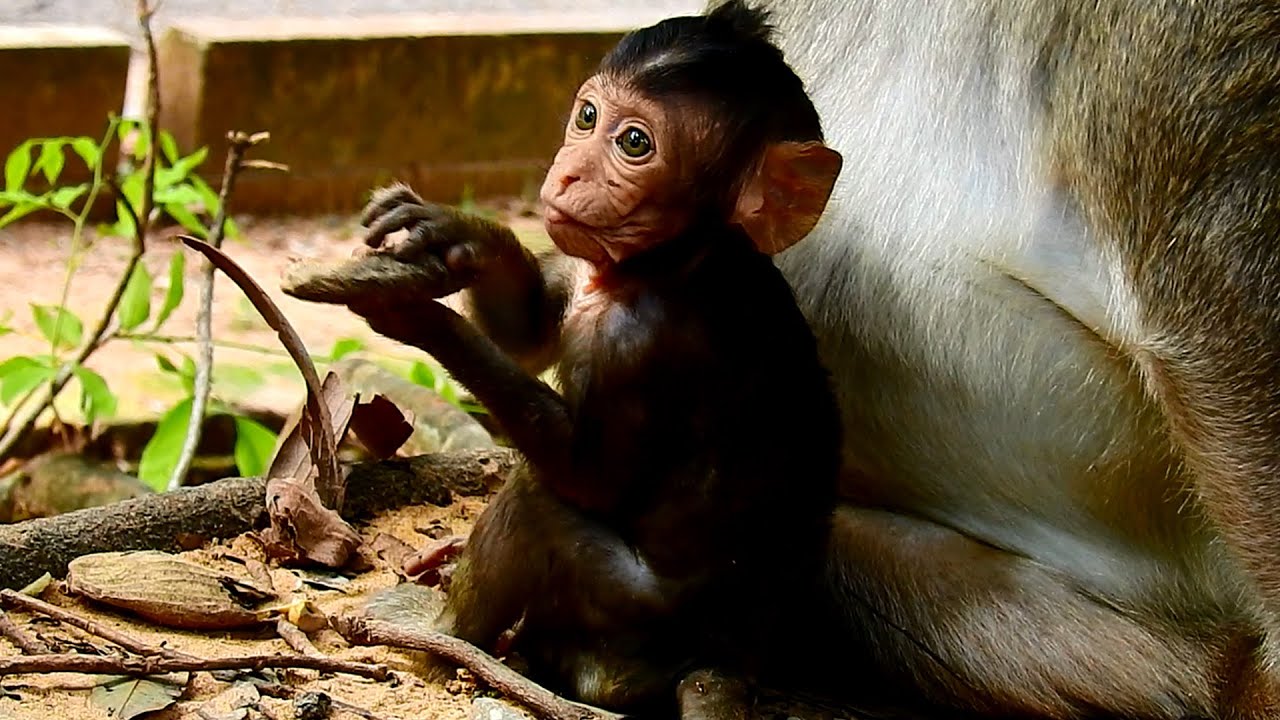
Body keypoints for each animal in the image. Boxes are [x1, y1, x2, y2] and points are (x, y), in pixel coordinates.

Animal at [286, 1, 845, 713]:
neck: (661, 264)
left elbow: (591, 476)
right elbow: (527, 331)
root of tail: (712, 665)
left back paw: (436, 640)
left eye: (634, 143)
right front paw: (459, 234)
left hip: (621, 616)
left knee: (536, 502)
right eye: (587, 117)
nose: (569, 172)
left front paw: (411, 312)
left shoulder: (640, 345)